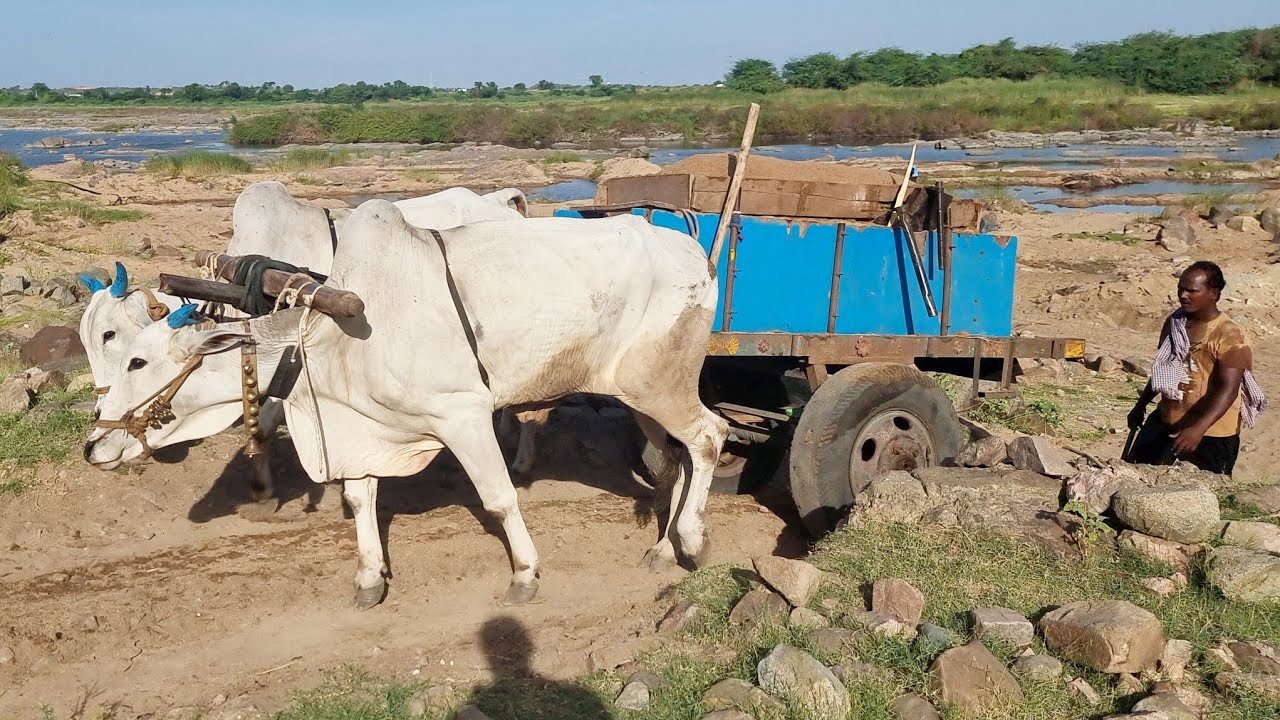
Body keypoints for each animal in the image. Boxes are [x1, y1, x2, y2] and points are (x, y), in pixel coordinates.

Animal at [78, 182, 538, 506]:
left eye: (110, 335)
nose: (101, 412)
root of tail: (500, 200)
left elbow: (264, 422)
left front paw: (261, 487)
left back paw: (521, 457)